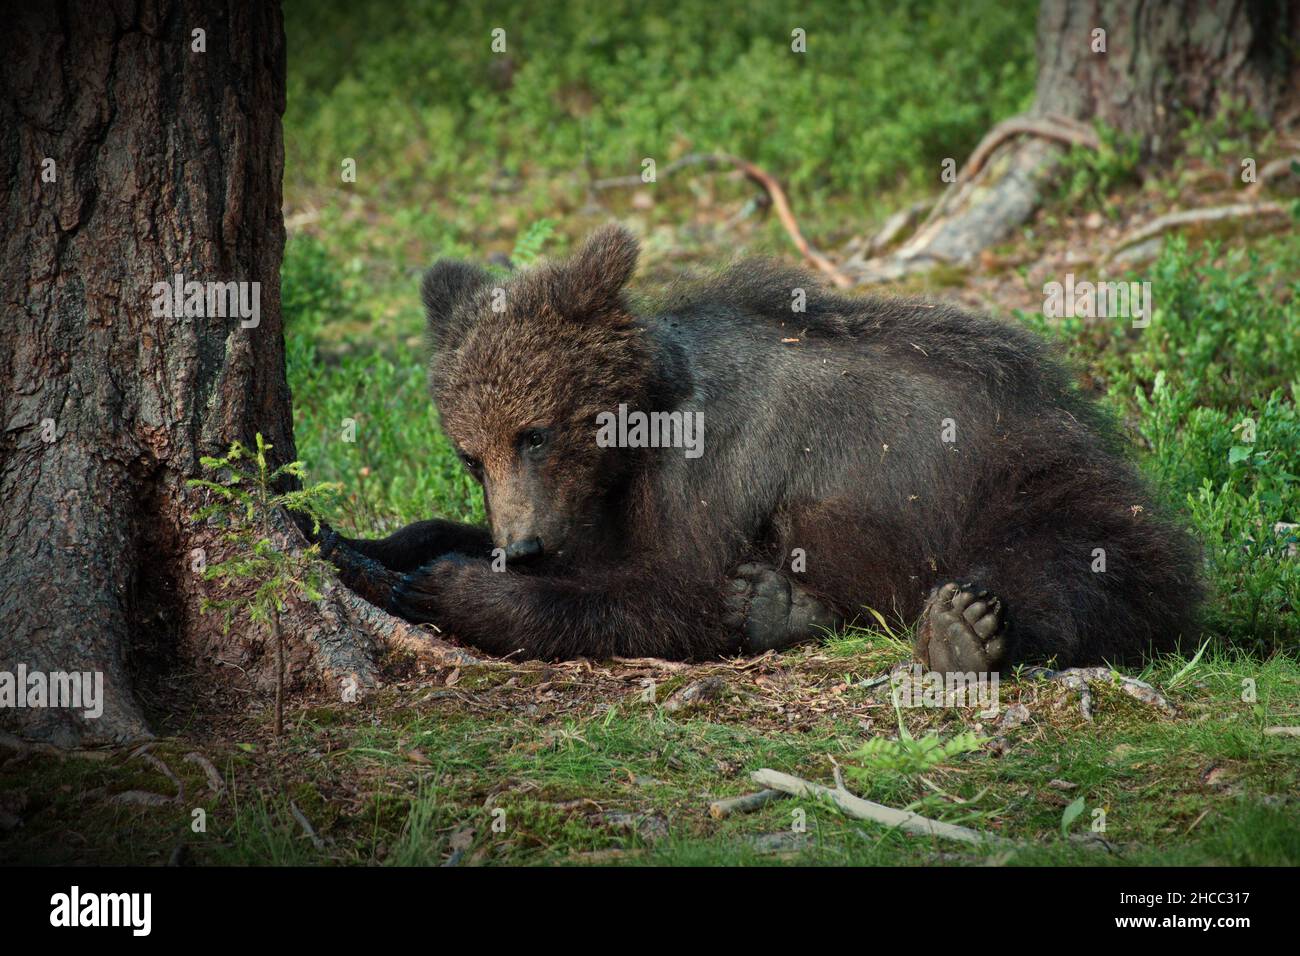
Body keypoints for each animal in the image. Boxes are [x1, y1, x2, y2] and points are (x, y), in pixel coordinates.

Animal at [323, 224, 1202, 673]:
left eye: (535, 432)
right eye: (470, 455)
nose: (524, 545)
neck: (636, 439)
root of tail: (1070, 411)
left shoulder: (707, 472)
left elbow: (665, 595)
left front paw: (451, 586)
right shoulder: (594, 507)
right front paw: (359, 539)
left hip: (1022, 476)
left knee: (1081, 566)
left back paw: (964, 630)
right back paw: (780, 605)